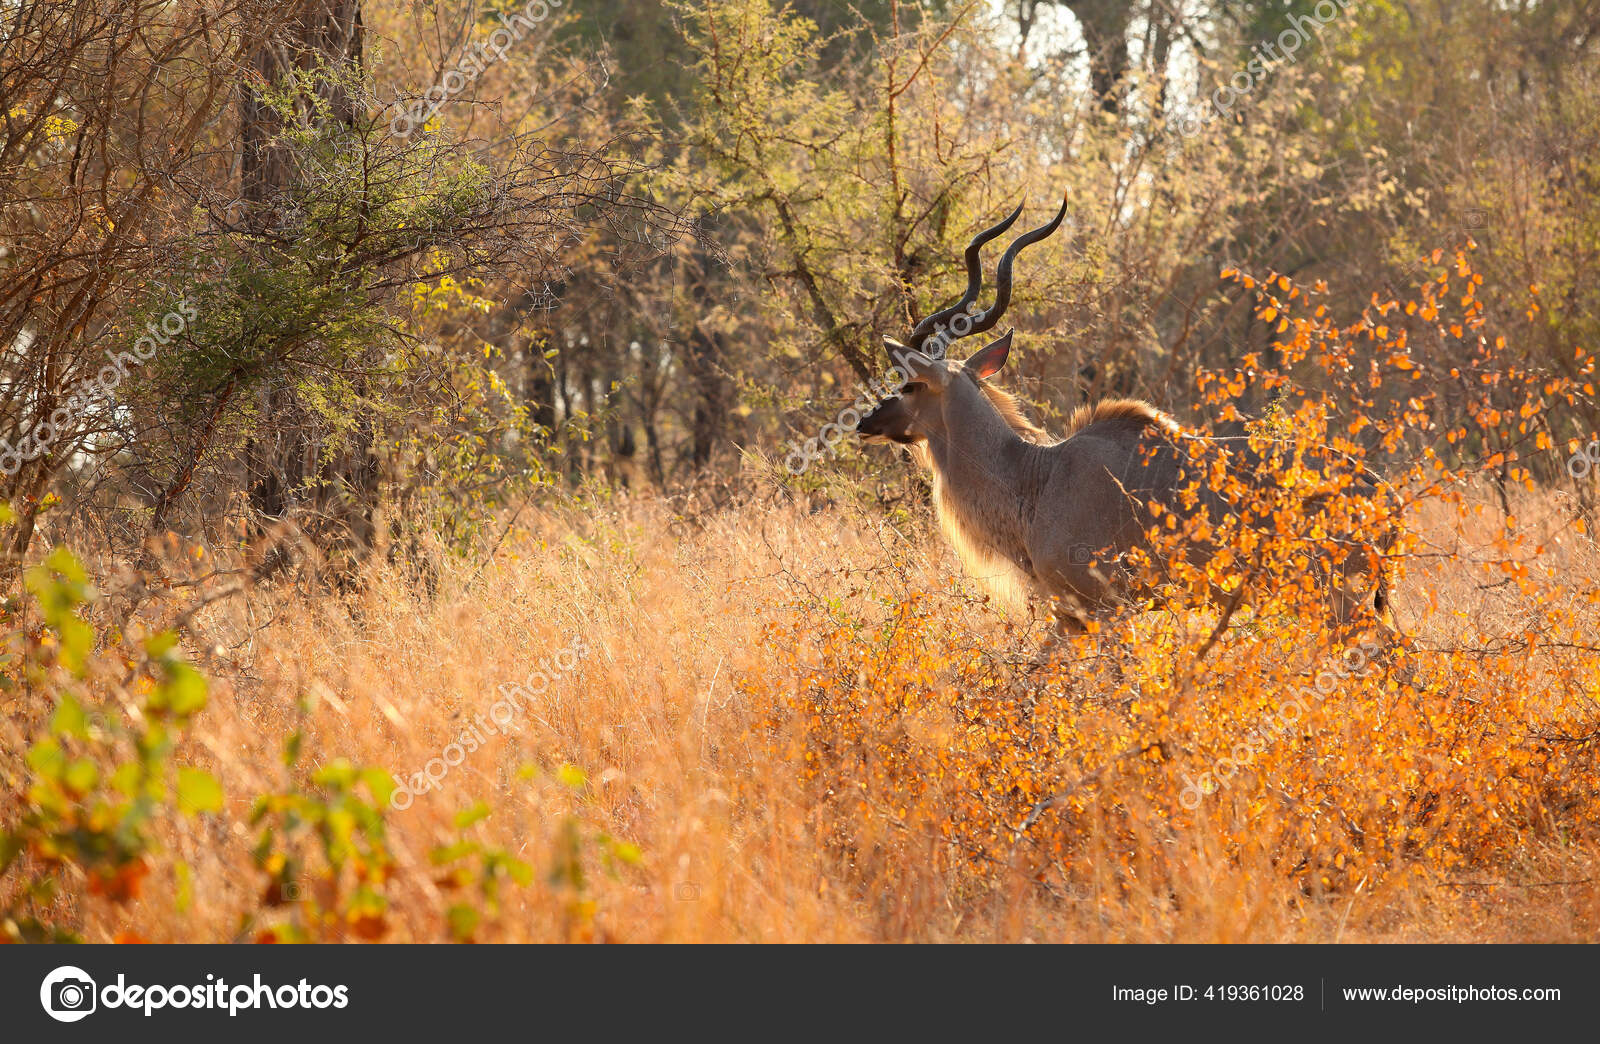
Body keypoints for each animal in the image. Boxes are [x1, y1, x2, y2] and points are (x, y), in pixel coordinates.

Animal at [858, 199, 1396, 636]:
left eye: (909, 384)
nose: (865, 423)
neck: (1037, 476)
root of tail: (1383, 493)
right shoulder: (1071, 618)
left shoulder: (1104, 609)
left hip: (1336, 602)